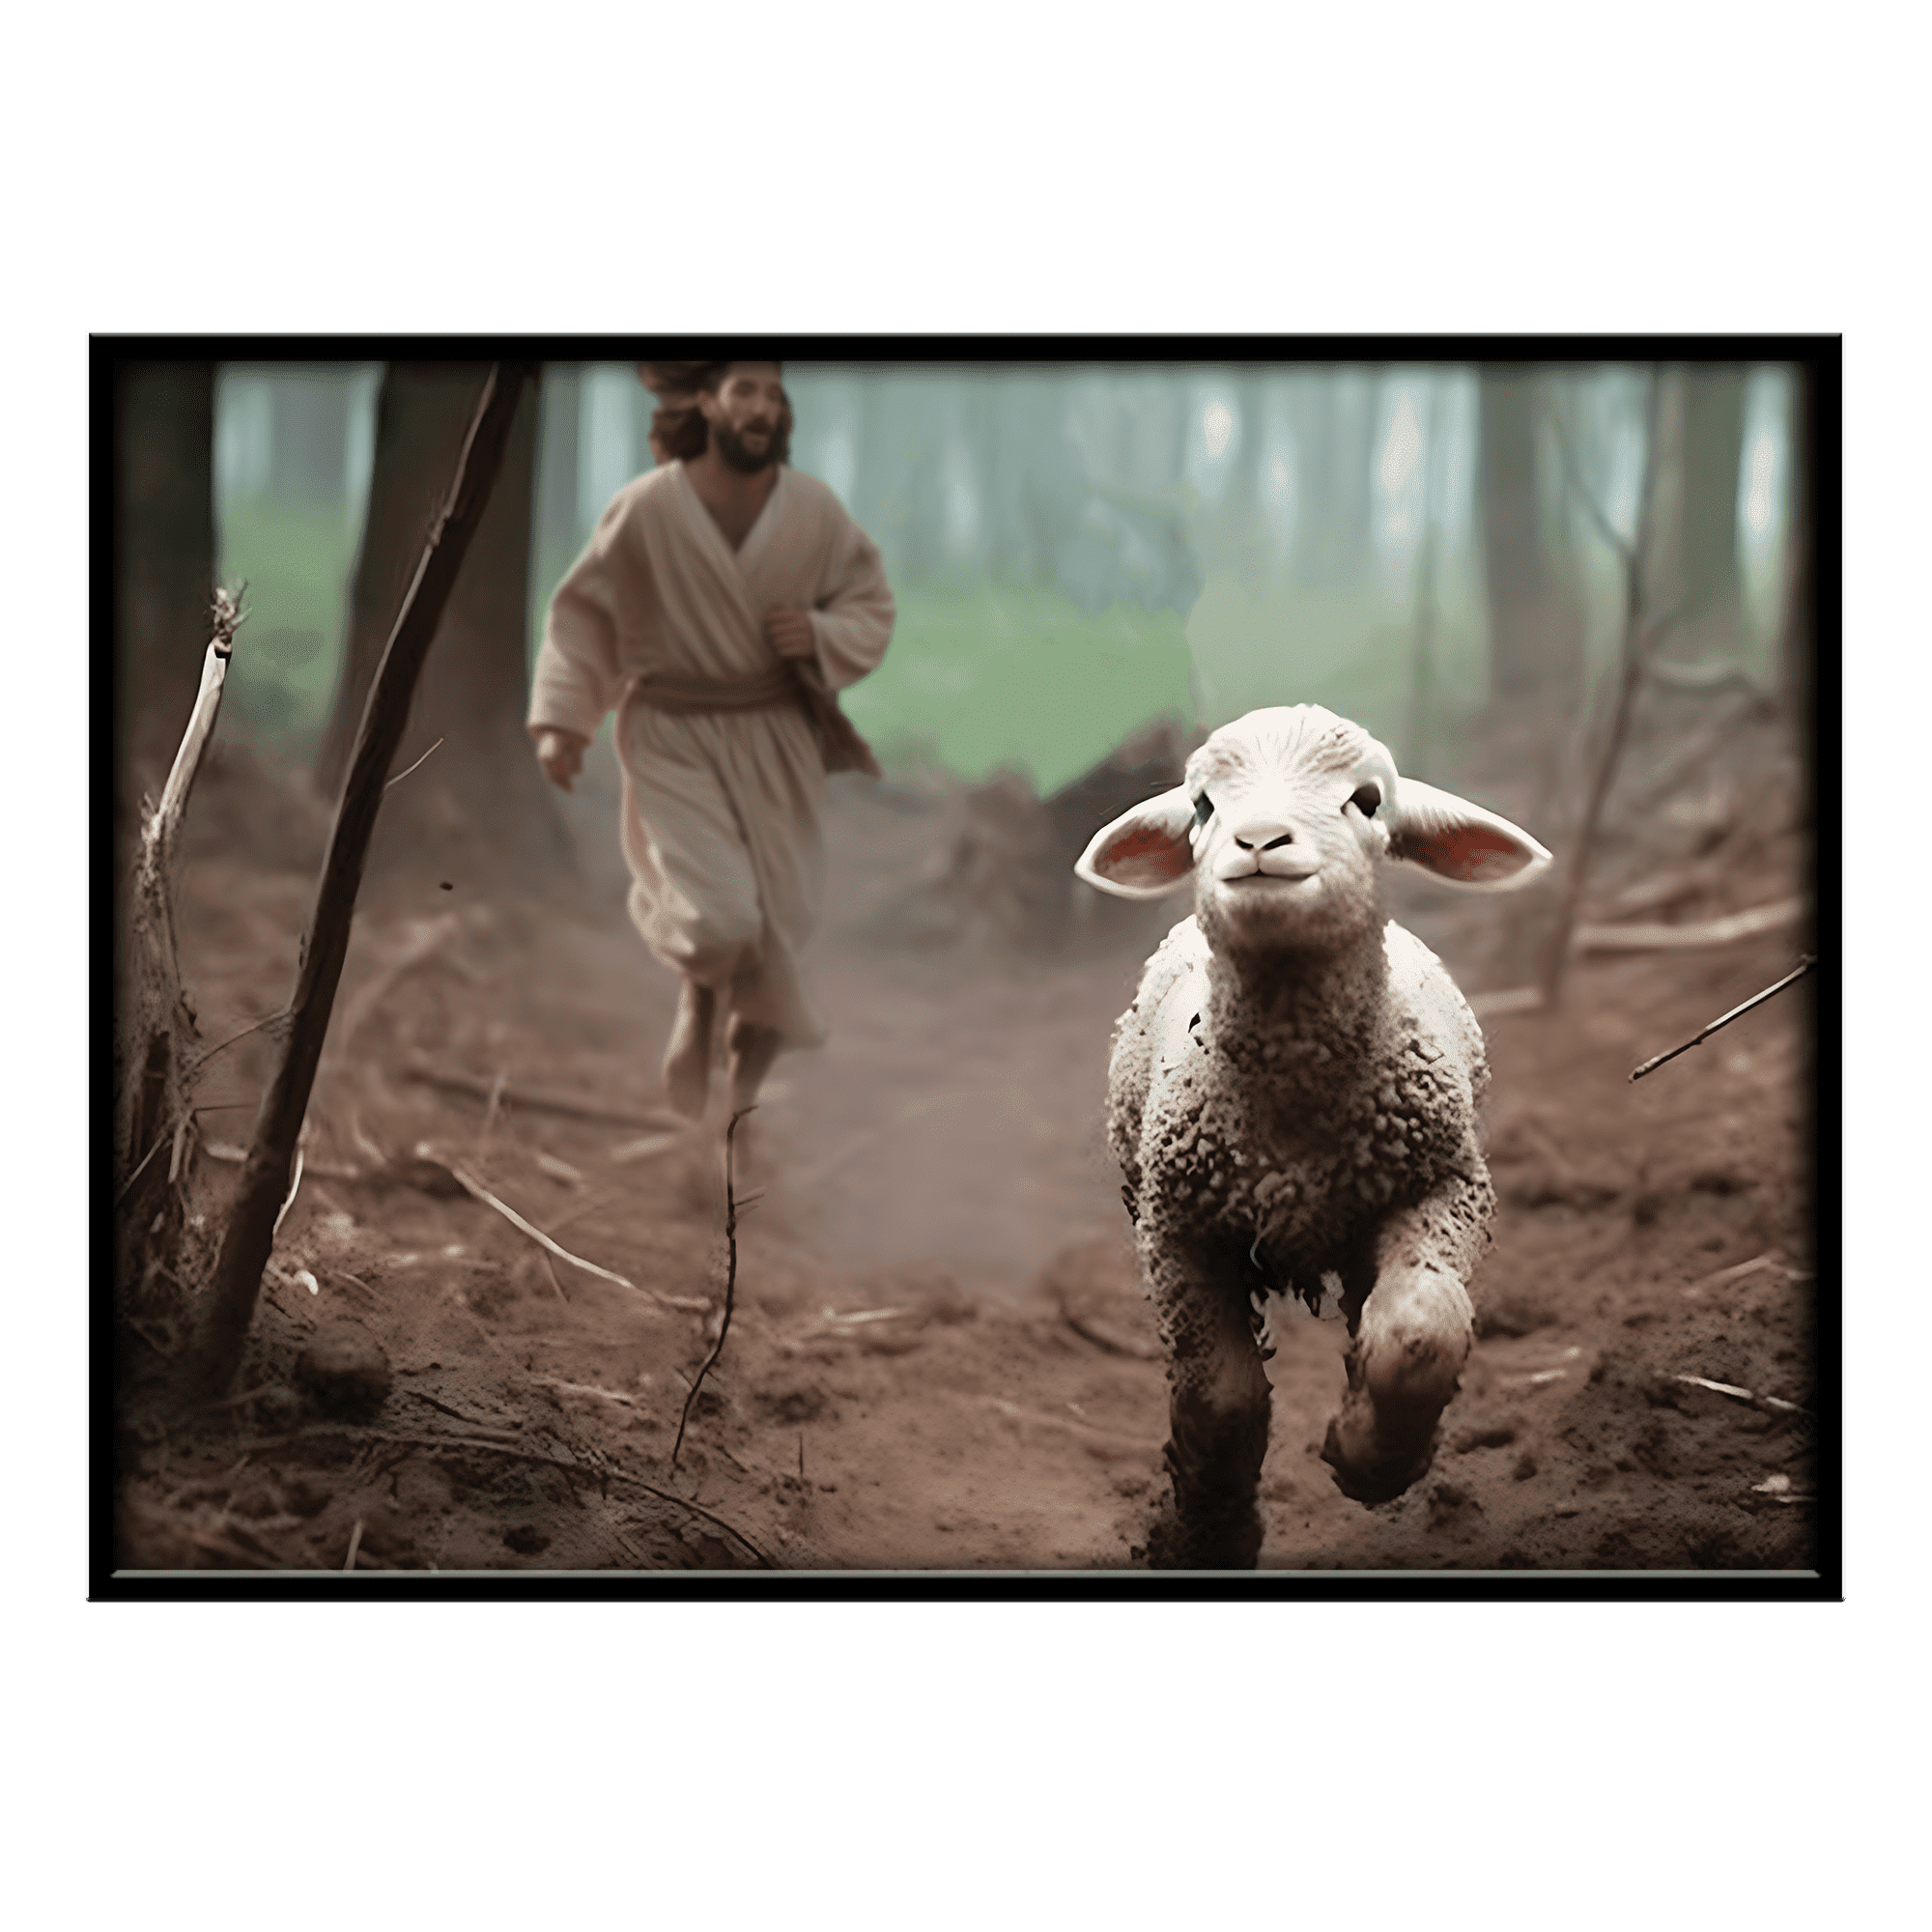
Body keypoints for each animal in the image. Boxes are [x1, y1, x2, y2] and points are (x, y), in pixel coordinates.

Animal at [1075, 705, 1551, 1568]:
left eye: (1365, 800)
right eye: (1201, 805)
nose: (1260, 841)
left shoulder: (1446, 1184)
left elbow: (1421, 1332)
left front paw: (1368, 1455)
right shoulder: (1176, 1225)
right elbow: (1219, 1396)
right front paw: (1208, 1537)